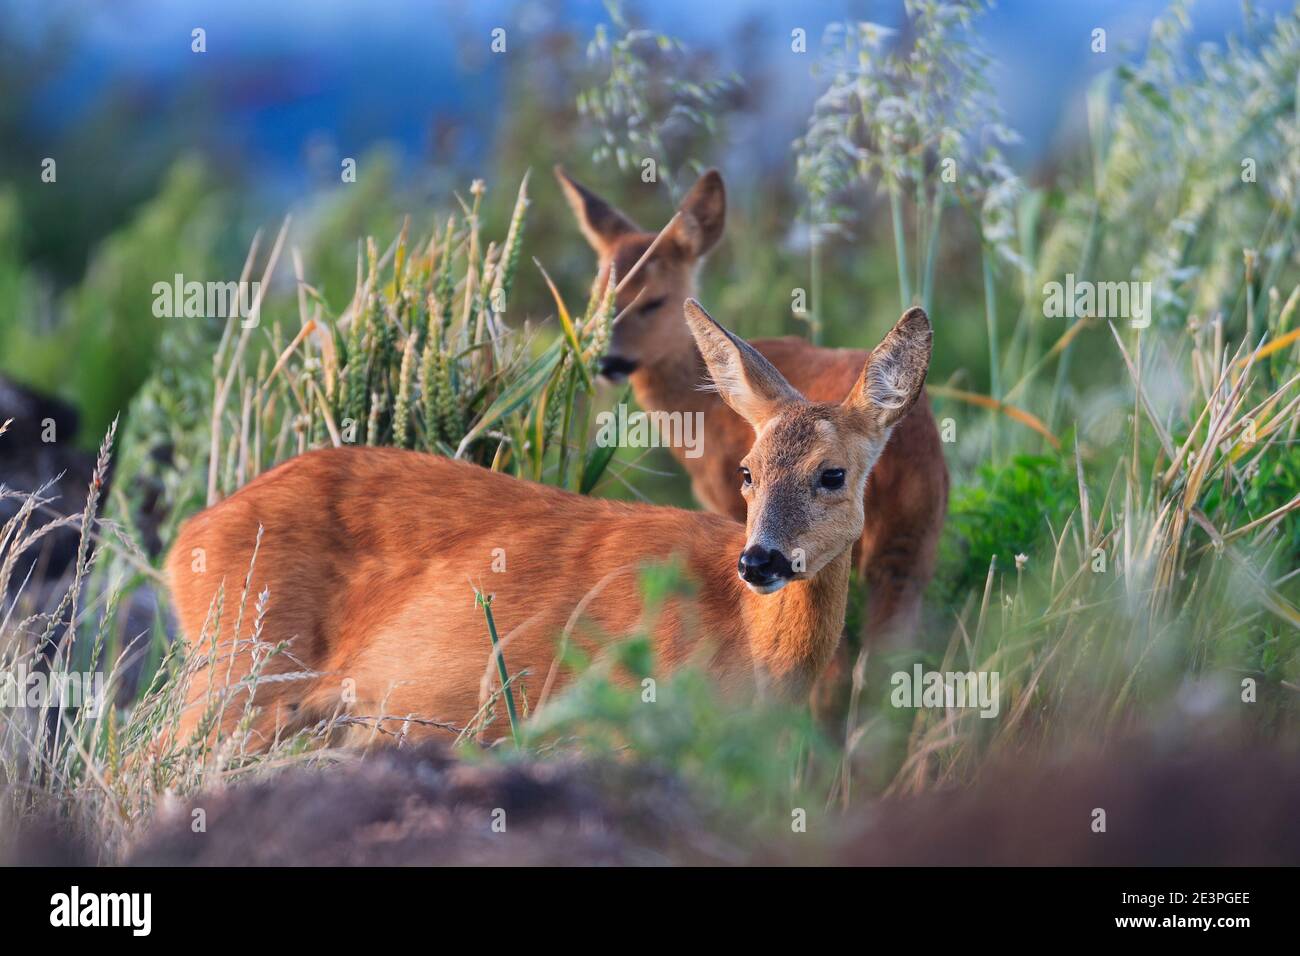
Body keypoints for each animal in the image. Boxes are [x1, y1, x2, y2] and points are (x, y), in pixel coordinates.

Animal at [163, 299, 932, 751]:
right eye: (748, 471)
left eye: (832, 474)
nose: (760, 561)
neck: (743, 642)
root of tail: (187, 539)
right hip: (241, 672)